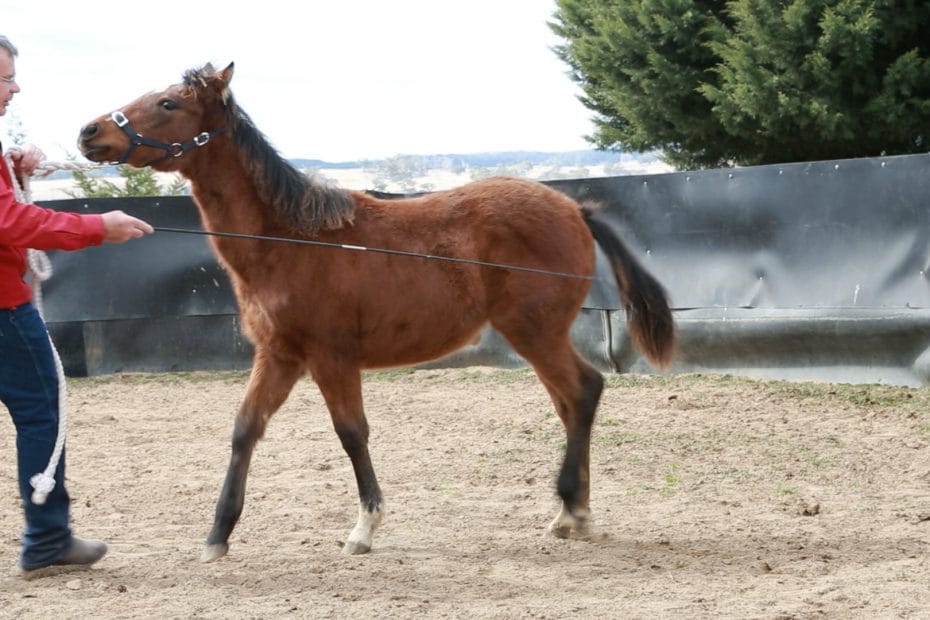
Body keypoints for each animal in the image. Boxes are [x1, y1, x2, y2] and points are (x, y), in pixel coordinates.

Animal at [77, 62, 675, 562]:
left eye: (169, 103)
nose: (90, 132)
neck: (289, 240)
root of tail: (575, 208)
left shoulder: (330, 357)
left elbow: (351, 433)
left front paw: (364, 529)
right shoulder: (278, 356)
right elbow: (245, 429)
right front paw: (217, 536)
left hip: (534, 332)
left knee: (584, 391)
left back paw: (571, 507)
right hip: (537, 336)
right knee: (572, 401)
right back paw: (574, 514)